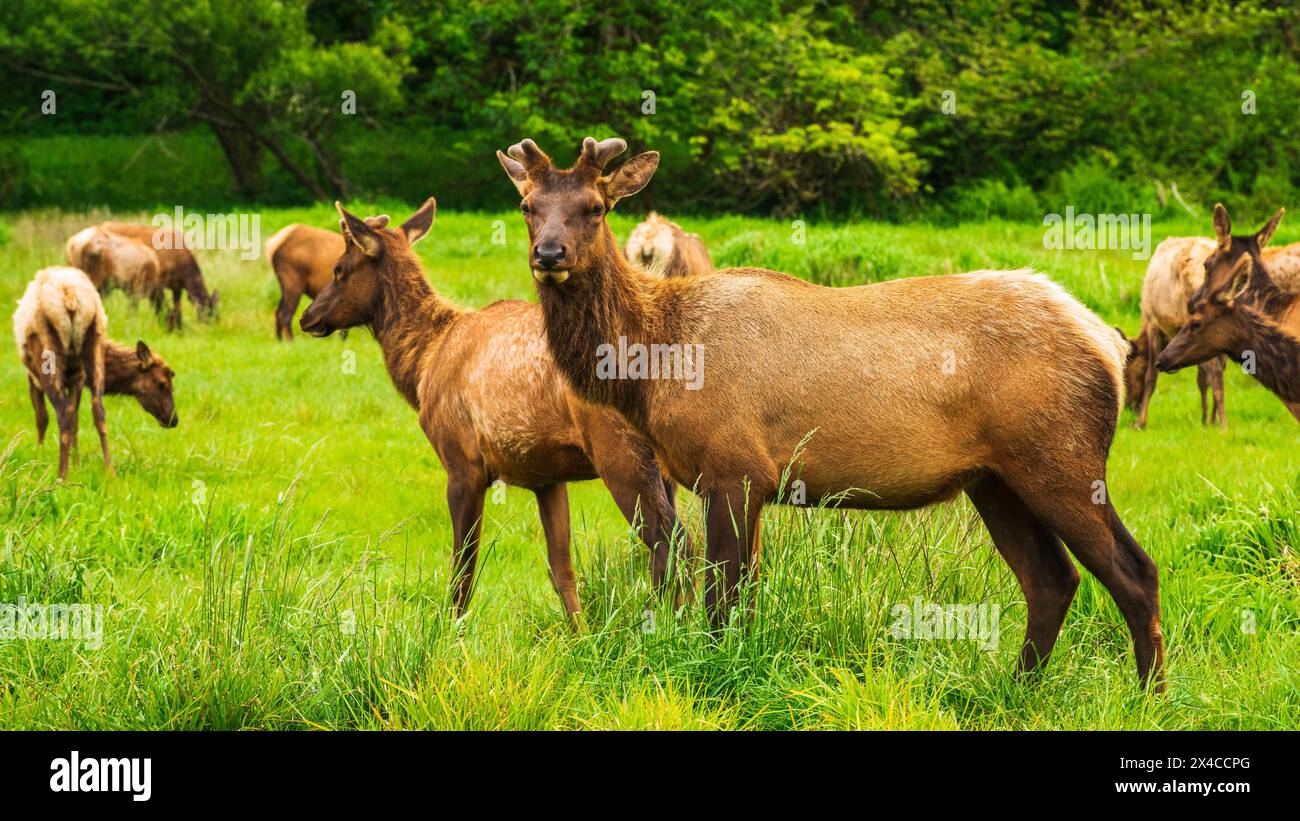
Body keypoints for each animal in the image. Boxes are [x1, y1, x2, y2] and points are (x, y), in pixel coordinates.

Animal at [13, 267, 177, 481]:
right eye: (161, 383)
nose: (174, 419)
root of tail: (70, 298)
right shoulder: (78, 377)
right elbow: (75, 419)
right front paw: (76, 463)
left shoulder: (32, 377)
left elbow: (42, 419)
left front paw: (36, 465)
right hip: (95, 340)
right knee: (98, 409)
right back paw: (109, 470)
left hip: (47, 354)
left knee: (62, 414)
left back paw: (61, 476)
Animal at [297, 198, 690, 624]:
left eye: (339, 269)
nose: (307, 317)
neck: (423, 366)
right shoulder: (546, 476)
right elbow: (561, 569)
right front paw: (580, 632)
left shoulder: (462, 461)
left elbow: (463, 571)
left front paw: (449, 630)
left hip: (619, 450)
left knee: (672, 540)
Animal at [497, 136, 1164, 690]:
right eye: (527, 206)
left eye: (595, 207)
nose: (548, 253)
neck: (656, 363)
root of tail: (1109, 343)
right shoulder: (749, 481)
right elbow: (743, 599)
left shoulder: (733, 467)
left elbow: (720, 602)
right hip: (996, 479)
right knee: (1051, 580)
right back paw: (1017, 689)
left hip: (1061, 458)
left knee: (1134, 572)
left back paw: (1148, 696)